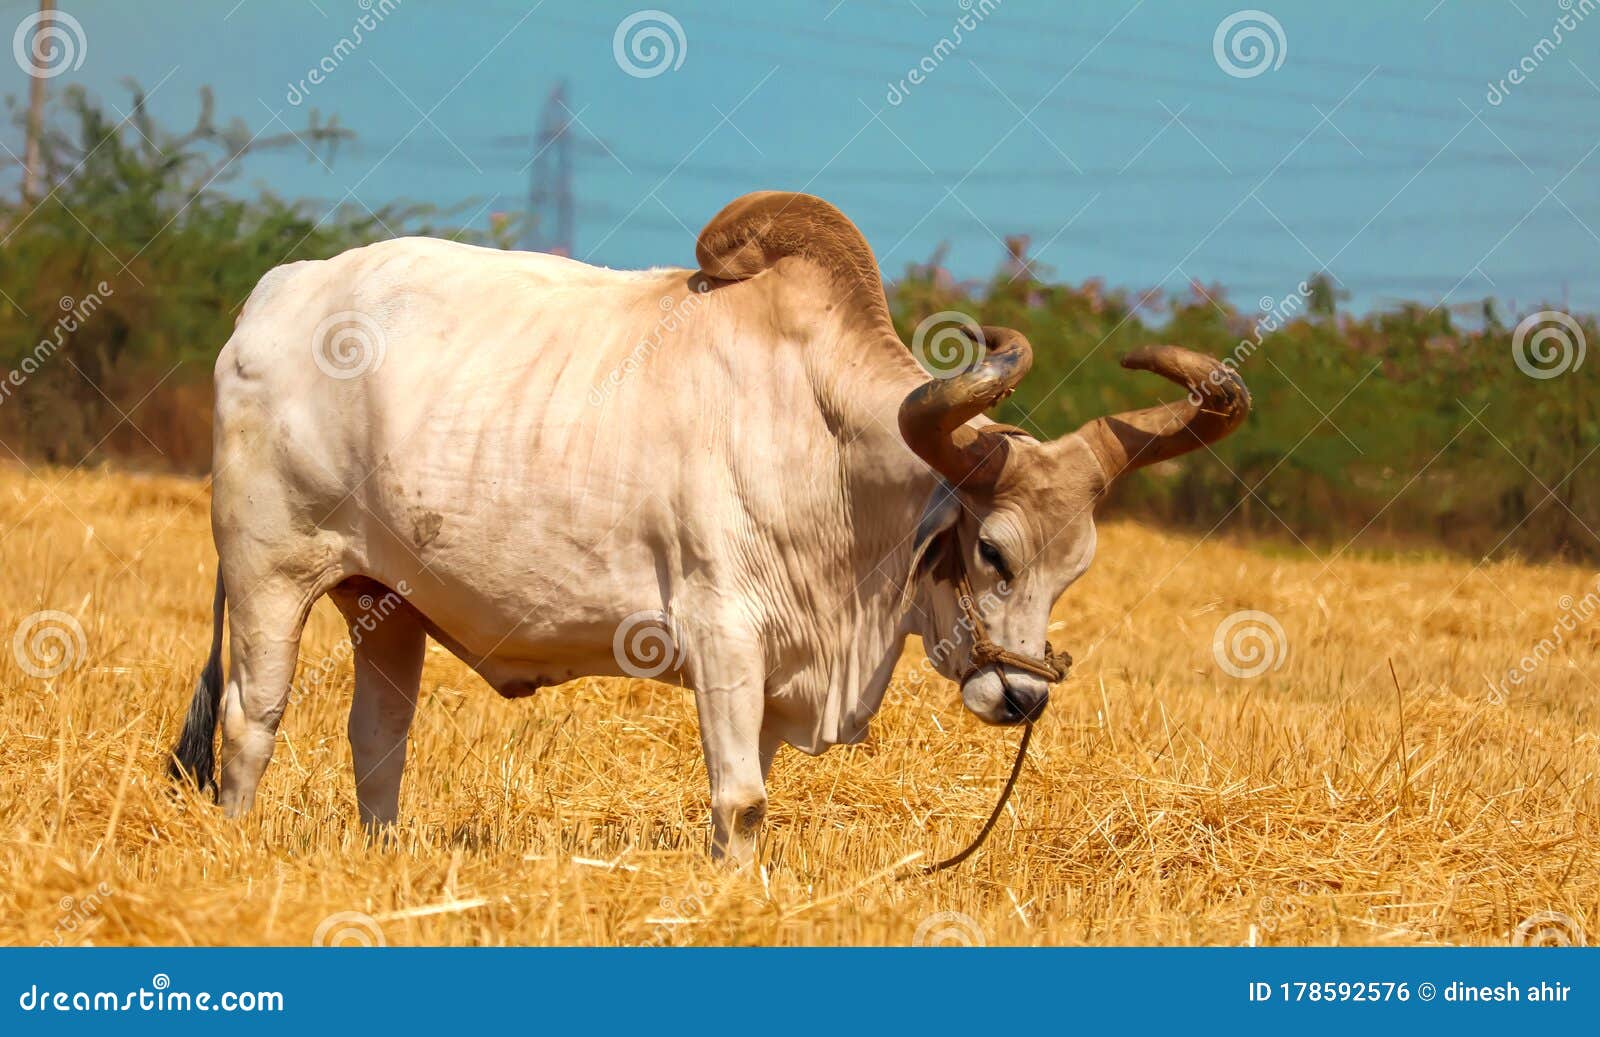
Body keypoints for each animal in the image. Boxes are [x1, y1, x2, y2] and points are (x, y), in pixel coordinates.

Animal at [169, 191, 1248, 862]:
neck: (827, 446)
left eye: (1074, 571)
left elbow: (746, 810)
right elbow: (740, 799)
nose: (1021, 696)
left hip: (385, 602)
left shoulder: (776, 681)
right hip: (271, 575)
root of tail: (271, 301)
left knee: (378, 738)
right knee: (252, 724)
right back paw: (233, 848)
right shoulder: (723, 634)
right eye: (991, 550)